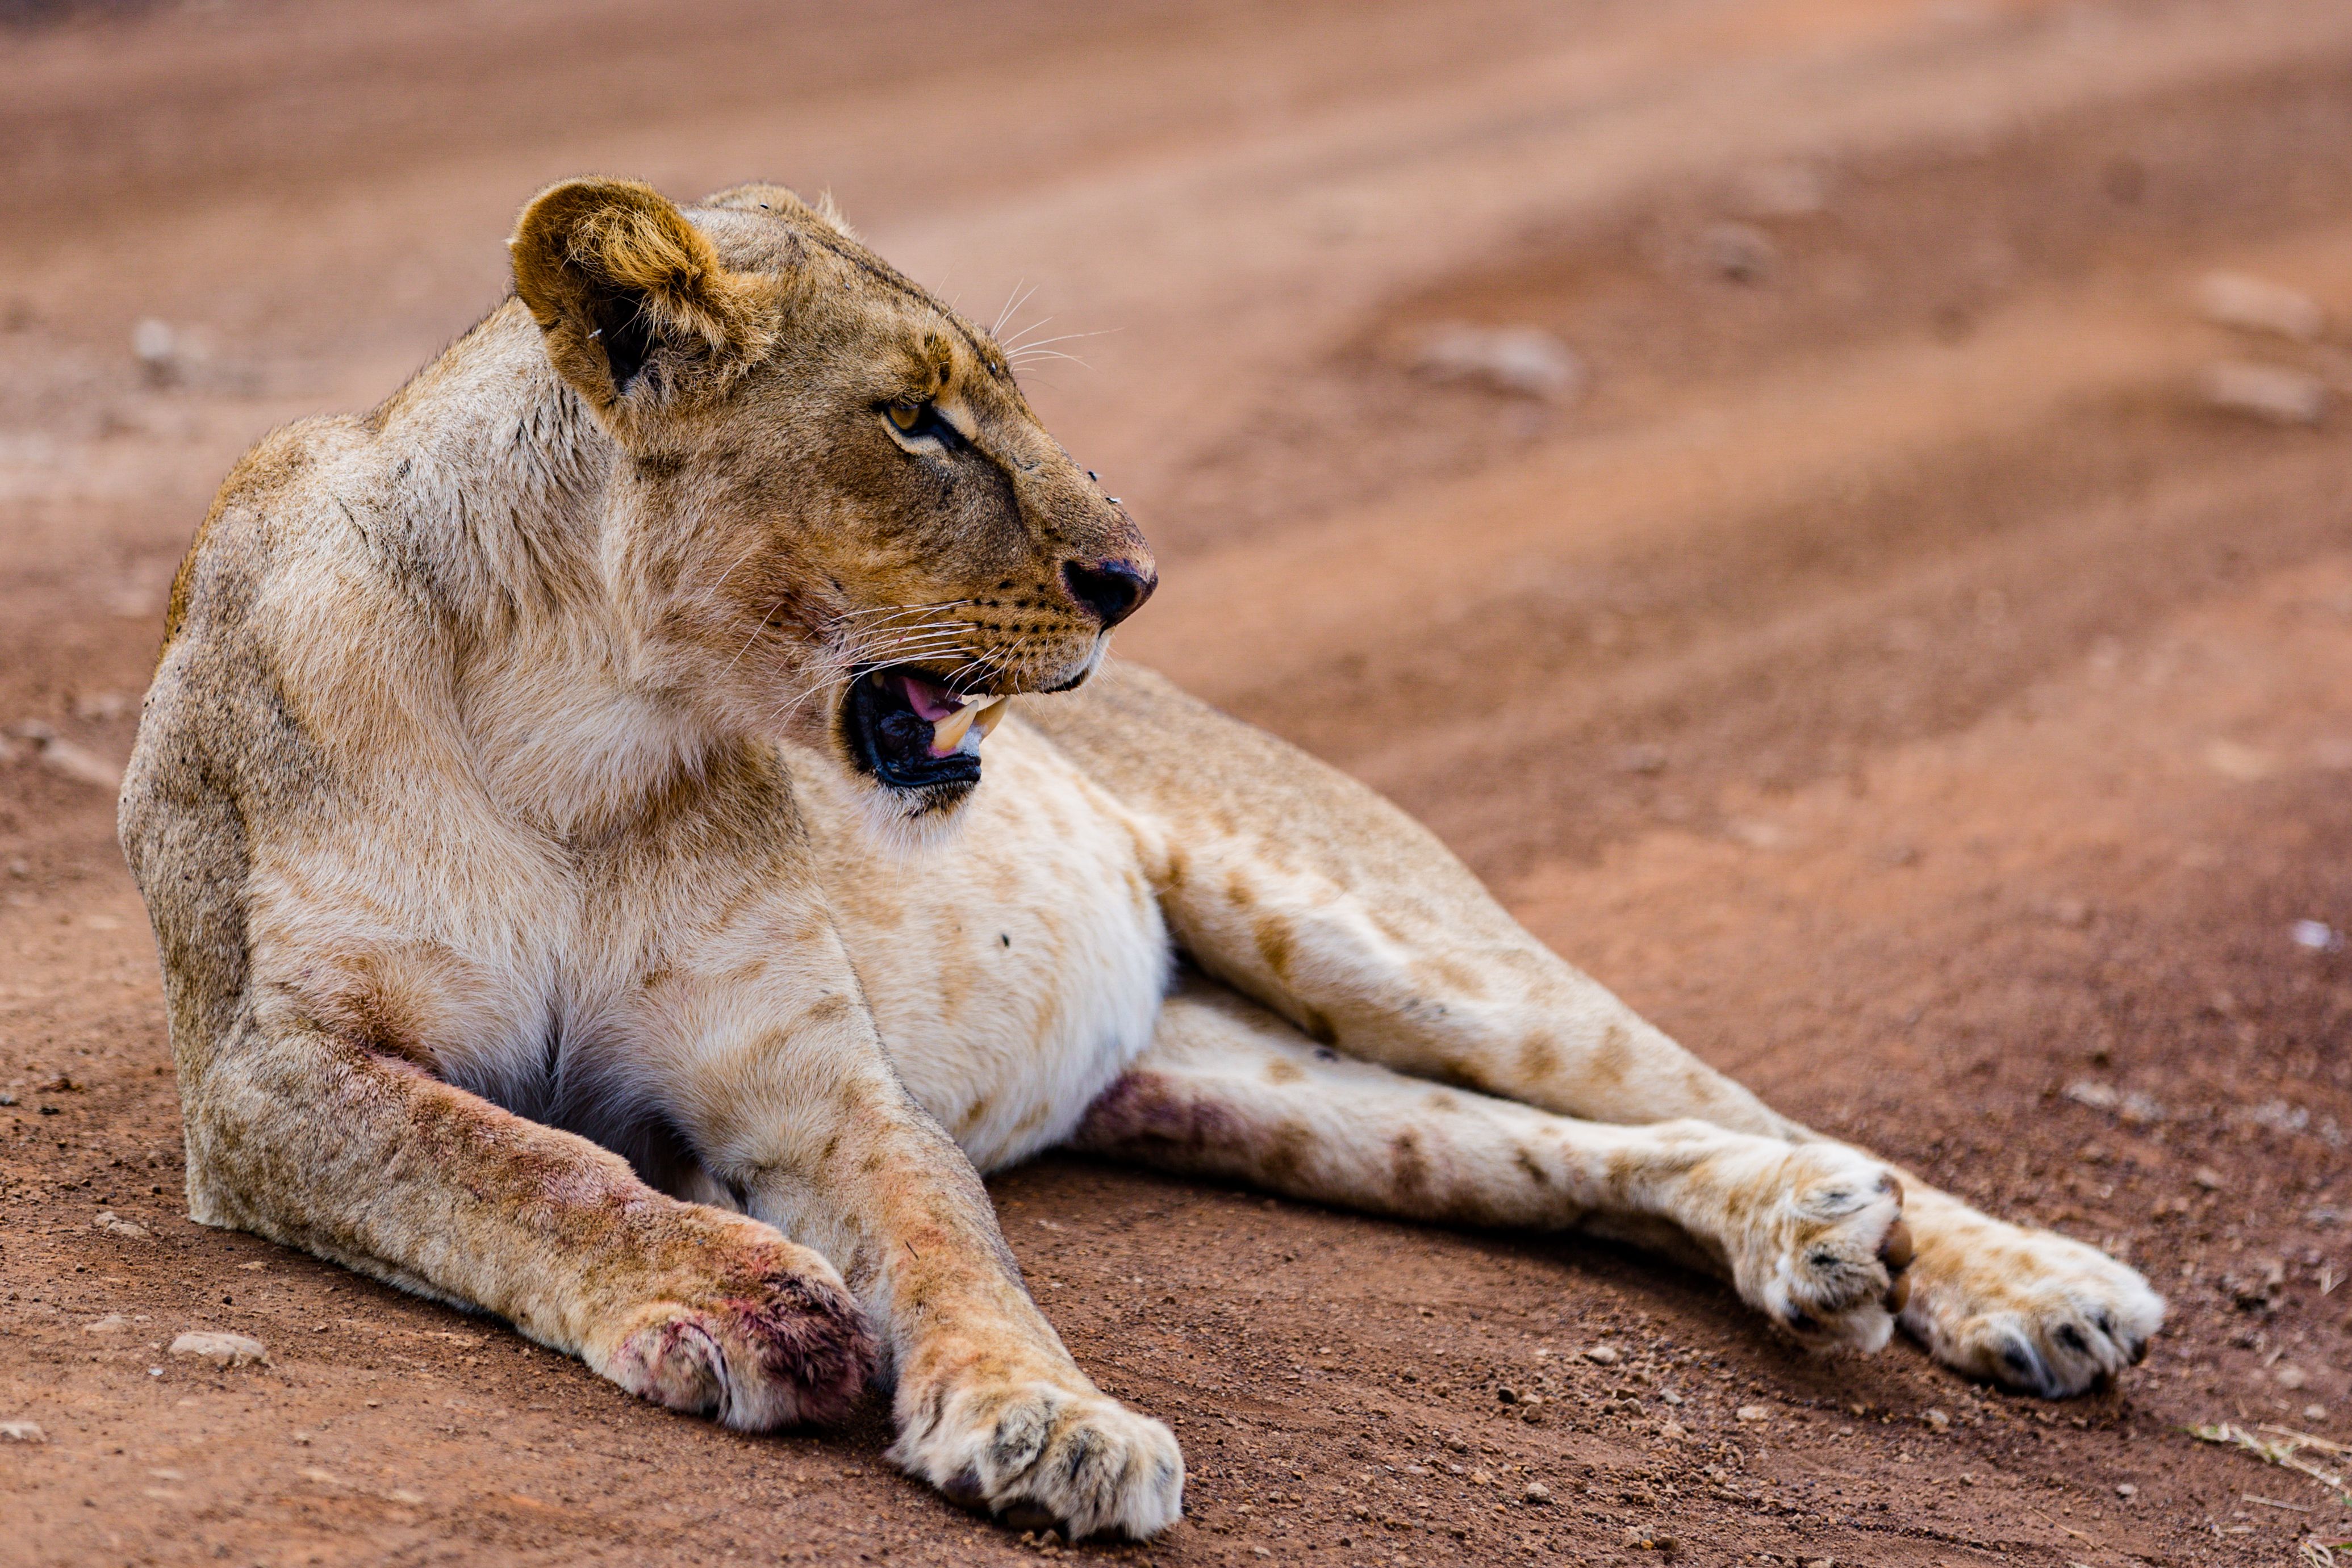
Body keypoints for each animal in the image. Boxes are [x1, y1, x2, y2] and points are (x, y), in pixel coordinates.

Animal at [121, 177, 2164, 1541]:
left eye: (993, 396)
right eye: (916, 417)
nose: (1135, 577)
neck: (581, 732)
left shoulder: (810, 1072)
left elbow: (949, 1234)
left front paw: (1050, 1423)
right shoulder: (271, 1073)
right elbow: (518, 1162)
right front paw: (752, 1305)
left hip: (1380, 933)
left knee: (1725, 1093)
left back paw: (2014, 1283)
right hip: (1268, 1097)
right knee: (1586, 1150)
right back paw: (1804, 1244)